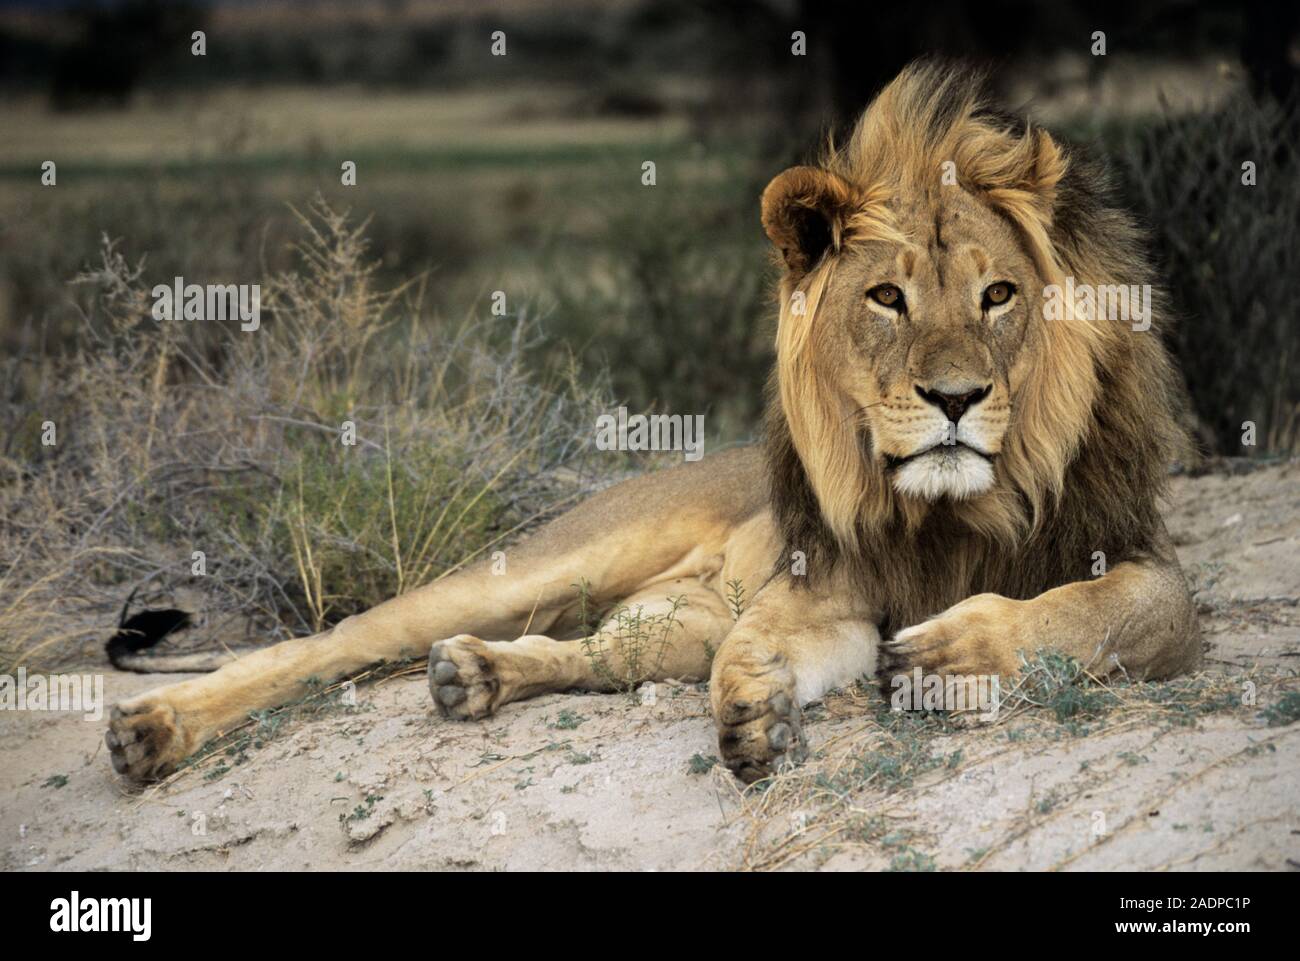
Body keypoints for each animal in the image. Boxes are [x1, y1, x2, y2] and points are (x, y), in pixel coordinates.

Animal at [106, 62, 1200, 784]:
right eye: (887, 298)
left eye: (998, 295)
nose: (956, 399)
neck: (951, 512)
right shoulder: (824, 583)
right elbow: (761, 642)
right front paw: (755, 699)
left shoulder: (1130, 554)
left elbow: (1110, 609)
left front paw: (953, 654)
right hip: (545, 562)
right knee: (325, 644)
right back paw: (152, 729)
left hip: (661, 614)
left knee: (596, 654)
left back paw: (475, 675)